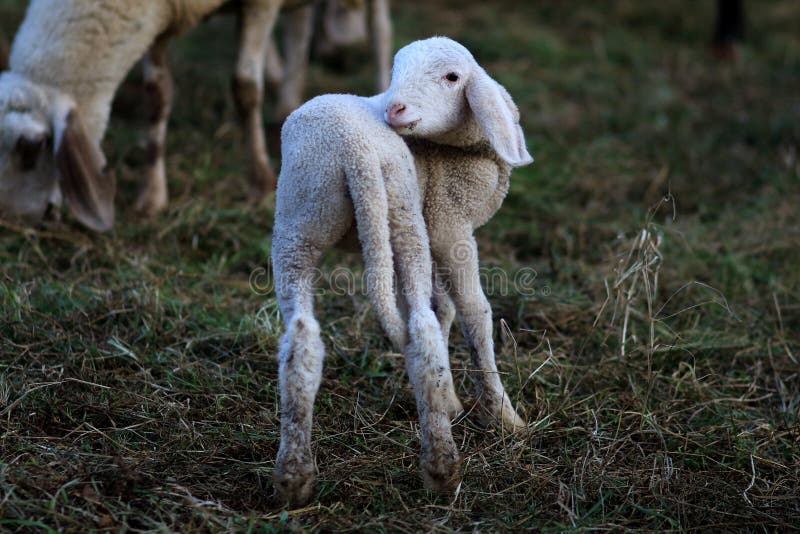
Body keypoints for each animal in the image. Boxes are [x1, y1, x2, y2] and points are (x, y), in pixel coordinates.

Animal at [0, 0, 283, 231]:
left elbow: (245, 88)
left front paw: (261, 185)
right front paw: (152, 199)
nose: (21, 219)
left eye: (34, 146)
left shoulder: (262, 5)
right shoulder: (157, 19)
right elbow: (157, 96)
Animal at [271, 36, 532, 505]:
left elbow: (445, 308)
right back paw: (442, 471)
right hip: (395, 214)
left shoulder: (435, 225)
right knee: (420, 327)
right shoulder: (448, 224)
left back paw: (294, 479)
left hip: (304, 216)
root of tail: (354, 151)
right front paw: (502, 417)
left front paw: (450, 401)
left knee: (304, 338)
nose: (394, 109)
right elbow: (473, 312)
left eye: (452, 77)